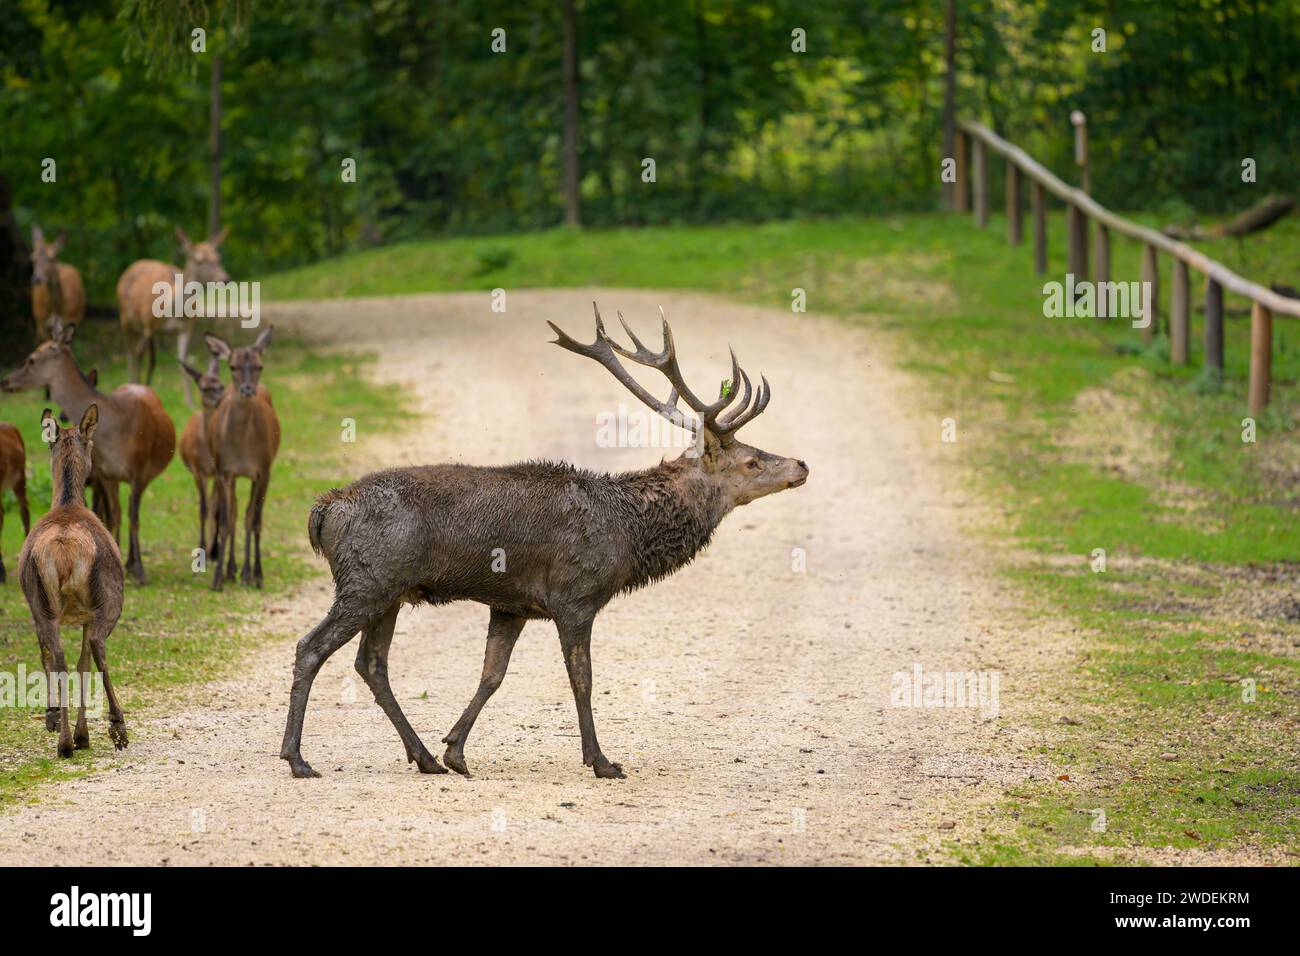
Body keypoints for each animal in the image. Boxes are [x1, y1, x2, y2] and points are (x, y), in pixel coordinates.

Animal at [0, 317, 177, 584]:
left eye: (32, 358)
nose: (6, 380)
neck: (116, 435)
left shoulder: (138, 470)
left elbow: (135, 520)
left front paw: (141, 572)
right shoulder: (105, 473)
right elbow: (112, 516)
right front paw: (121, 560)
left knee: (131, 511)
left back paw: (134, 563)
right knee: (121, 509)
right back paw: (128, 560)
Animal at [18, 405, 128, 757]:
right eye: (91, 444)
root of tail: (64, 552)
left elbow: (63, 661)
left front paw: (61, 724)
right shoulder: (86, 615)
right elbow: (84, 663)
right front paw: (83, 734)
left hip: (41, 603)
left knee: (58, 657)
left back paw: (64, 740)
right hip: (108, 598)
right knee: (95, 647)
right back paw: (115, 726)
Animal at [117, 227, 230, 406]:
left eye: (218, 257)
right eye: (199, 260)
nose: (225, 278)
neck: (174, 311)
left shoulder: (186, 328)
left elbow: (182, 362)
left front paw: (189, 401)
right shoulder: (148, 323)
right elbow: (141, 354)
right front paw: (138, 387)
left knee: (147, 356)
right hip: (126, 318)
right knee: (132, 351)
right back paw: (133, 381)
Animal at [203, 327, 279, 591]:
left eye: (259, 365)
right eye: (233, 366)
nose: (247, 390)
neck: (243, 449)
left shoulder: (263, 470)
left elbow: (253, 520)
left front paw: (255, 574)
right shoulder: (225, 470)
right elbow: (227, 521)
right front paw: (217, 578)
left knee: (244, 513)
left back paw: (240, 570)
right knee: (233, 512)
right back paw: (230, 569)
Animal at [280, 304, 809, 781]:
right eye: (751, 461)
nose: (801, 464)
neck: (627, 533)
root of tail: (324, 509)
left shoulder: (510, 605)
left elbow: (491, 676)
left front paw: (455, 750)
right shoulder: (575, 597)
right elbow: (582, 681)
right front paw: (601, 761)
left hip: (388, 592)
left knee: (371, 664)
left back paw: (424, 757)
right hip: (366, 581)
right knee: (311, 647)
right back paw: (297, 759)